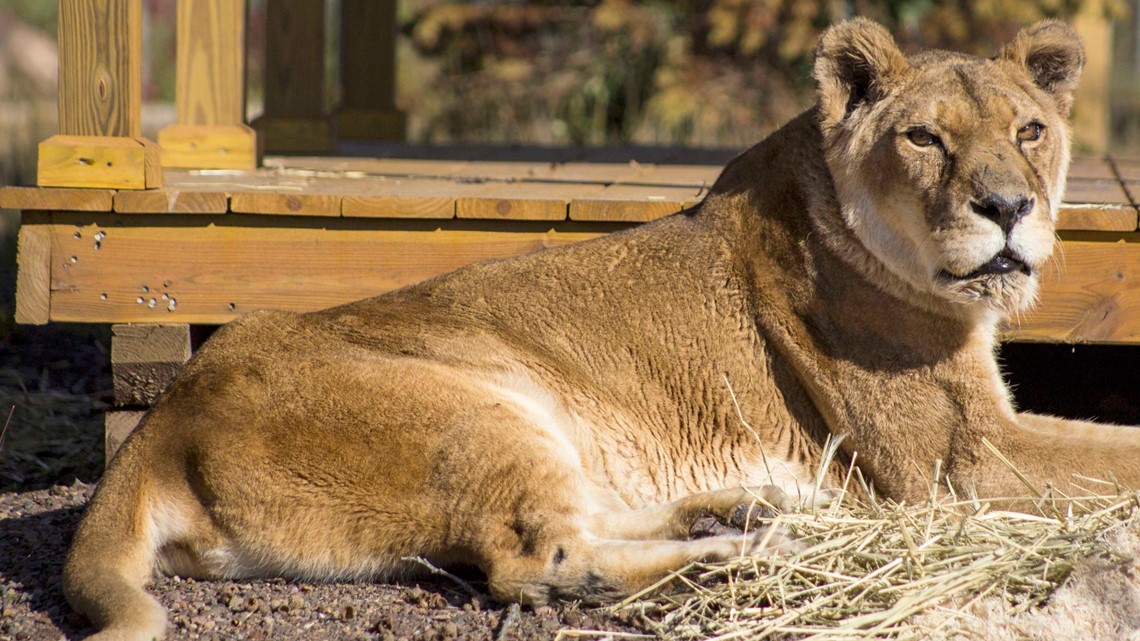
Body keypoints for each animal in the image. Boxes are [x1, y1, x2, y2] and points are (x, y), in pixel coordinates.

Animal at [64, 18, 1140, 641]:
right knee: (537, 563)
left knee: (578, 525)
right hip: (478, 405)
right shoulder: (960, 460)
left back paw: (739, 510)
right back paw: (744, 555)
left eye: (1030, 131)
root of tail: (164, 419)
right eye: (924, 138)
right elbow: (1119, 457)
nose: (1009, 207)